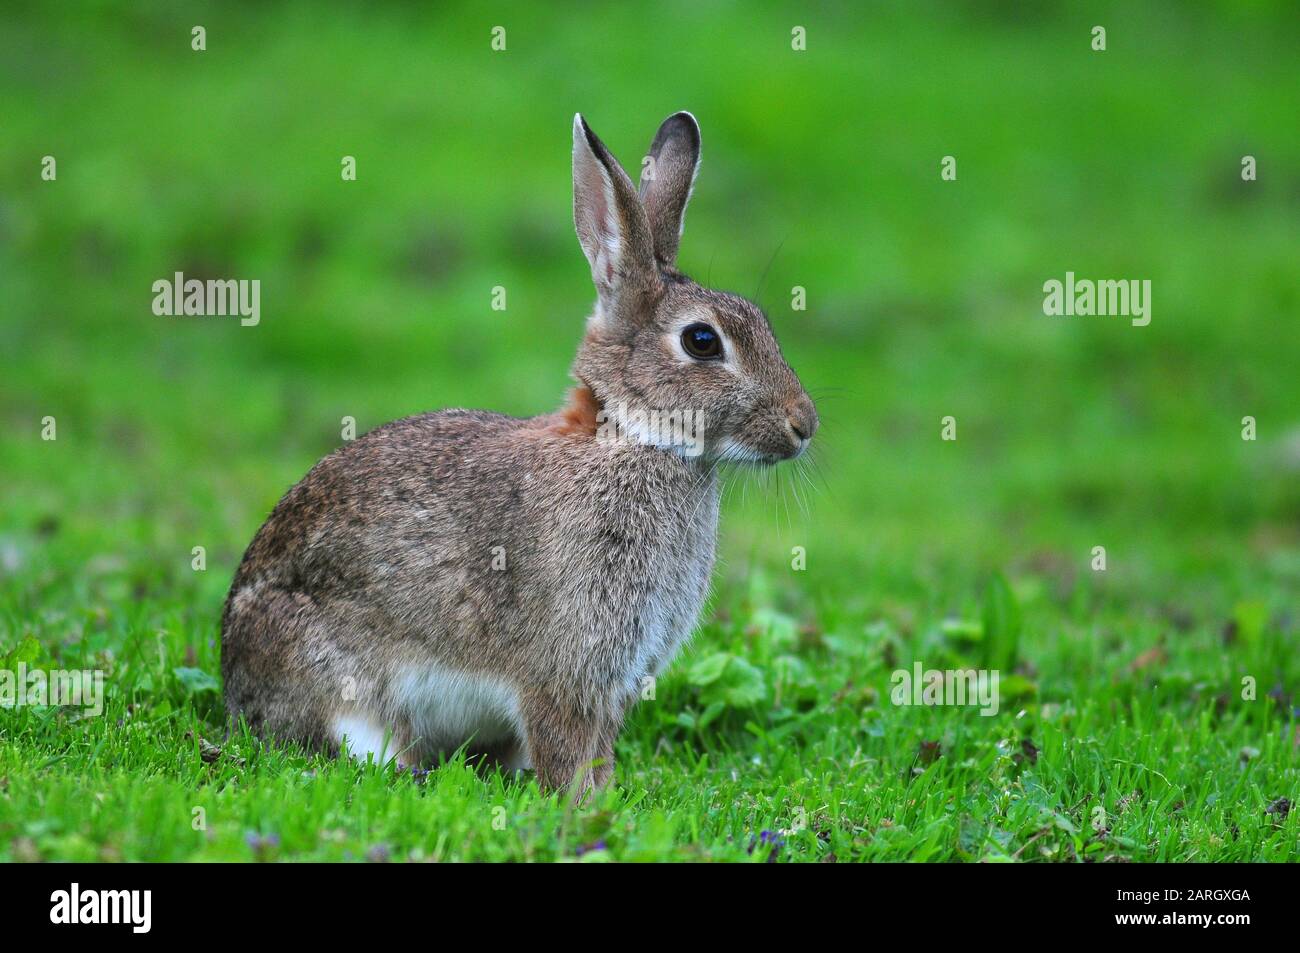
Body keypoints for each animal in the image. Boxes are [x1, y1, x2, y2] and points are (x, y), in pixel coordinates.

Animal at [220, 111, 818, 796]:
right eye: (701, 341)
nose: (804, 425)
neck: (630, 437)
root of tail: (233, 678)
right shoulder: (564, 672)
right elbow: (567, 747)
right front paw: (585, 806)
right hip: (337, 684)